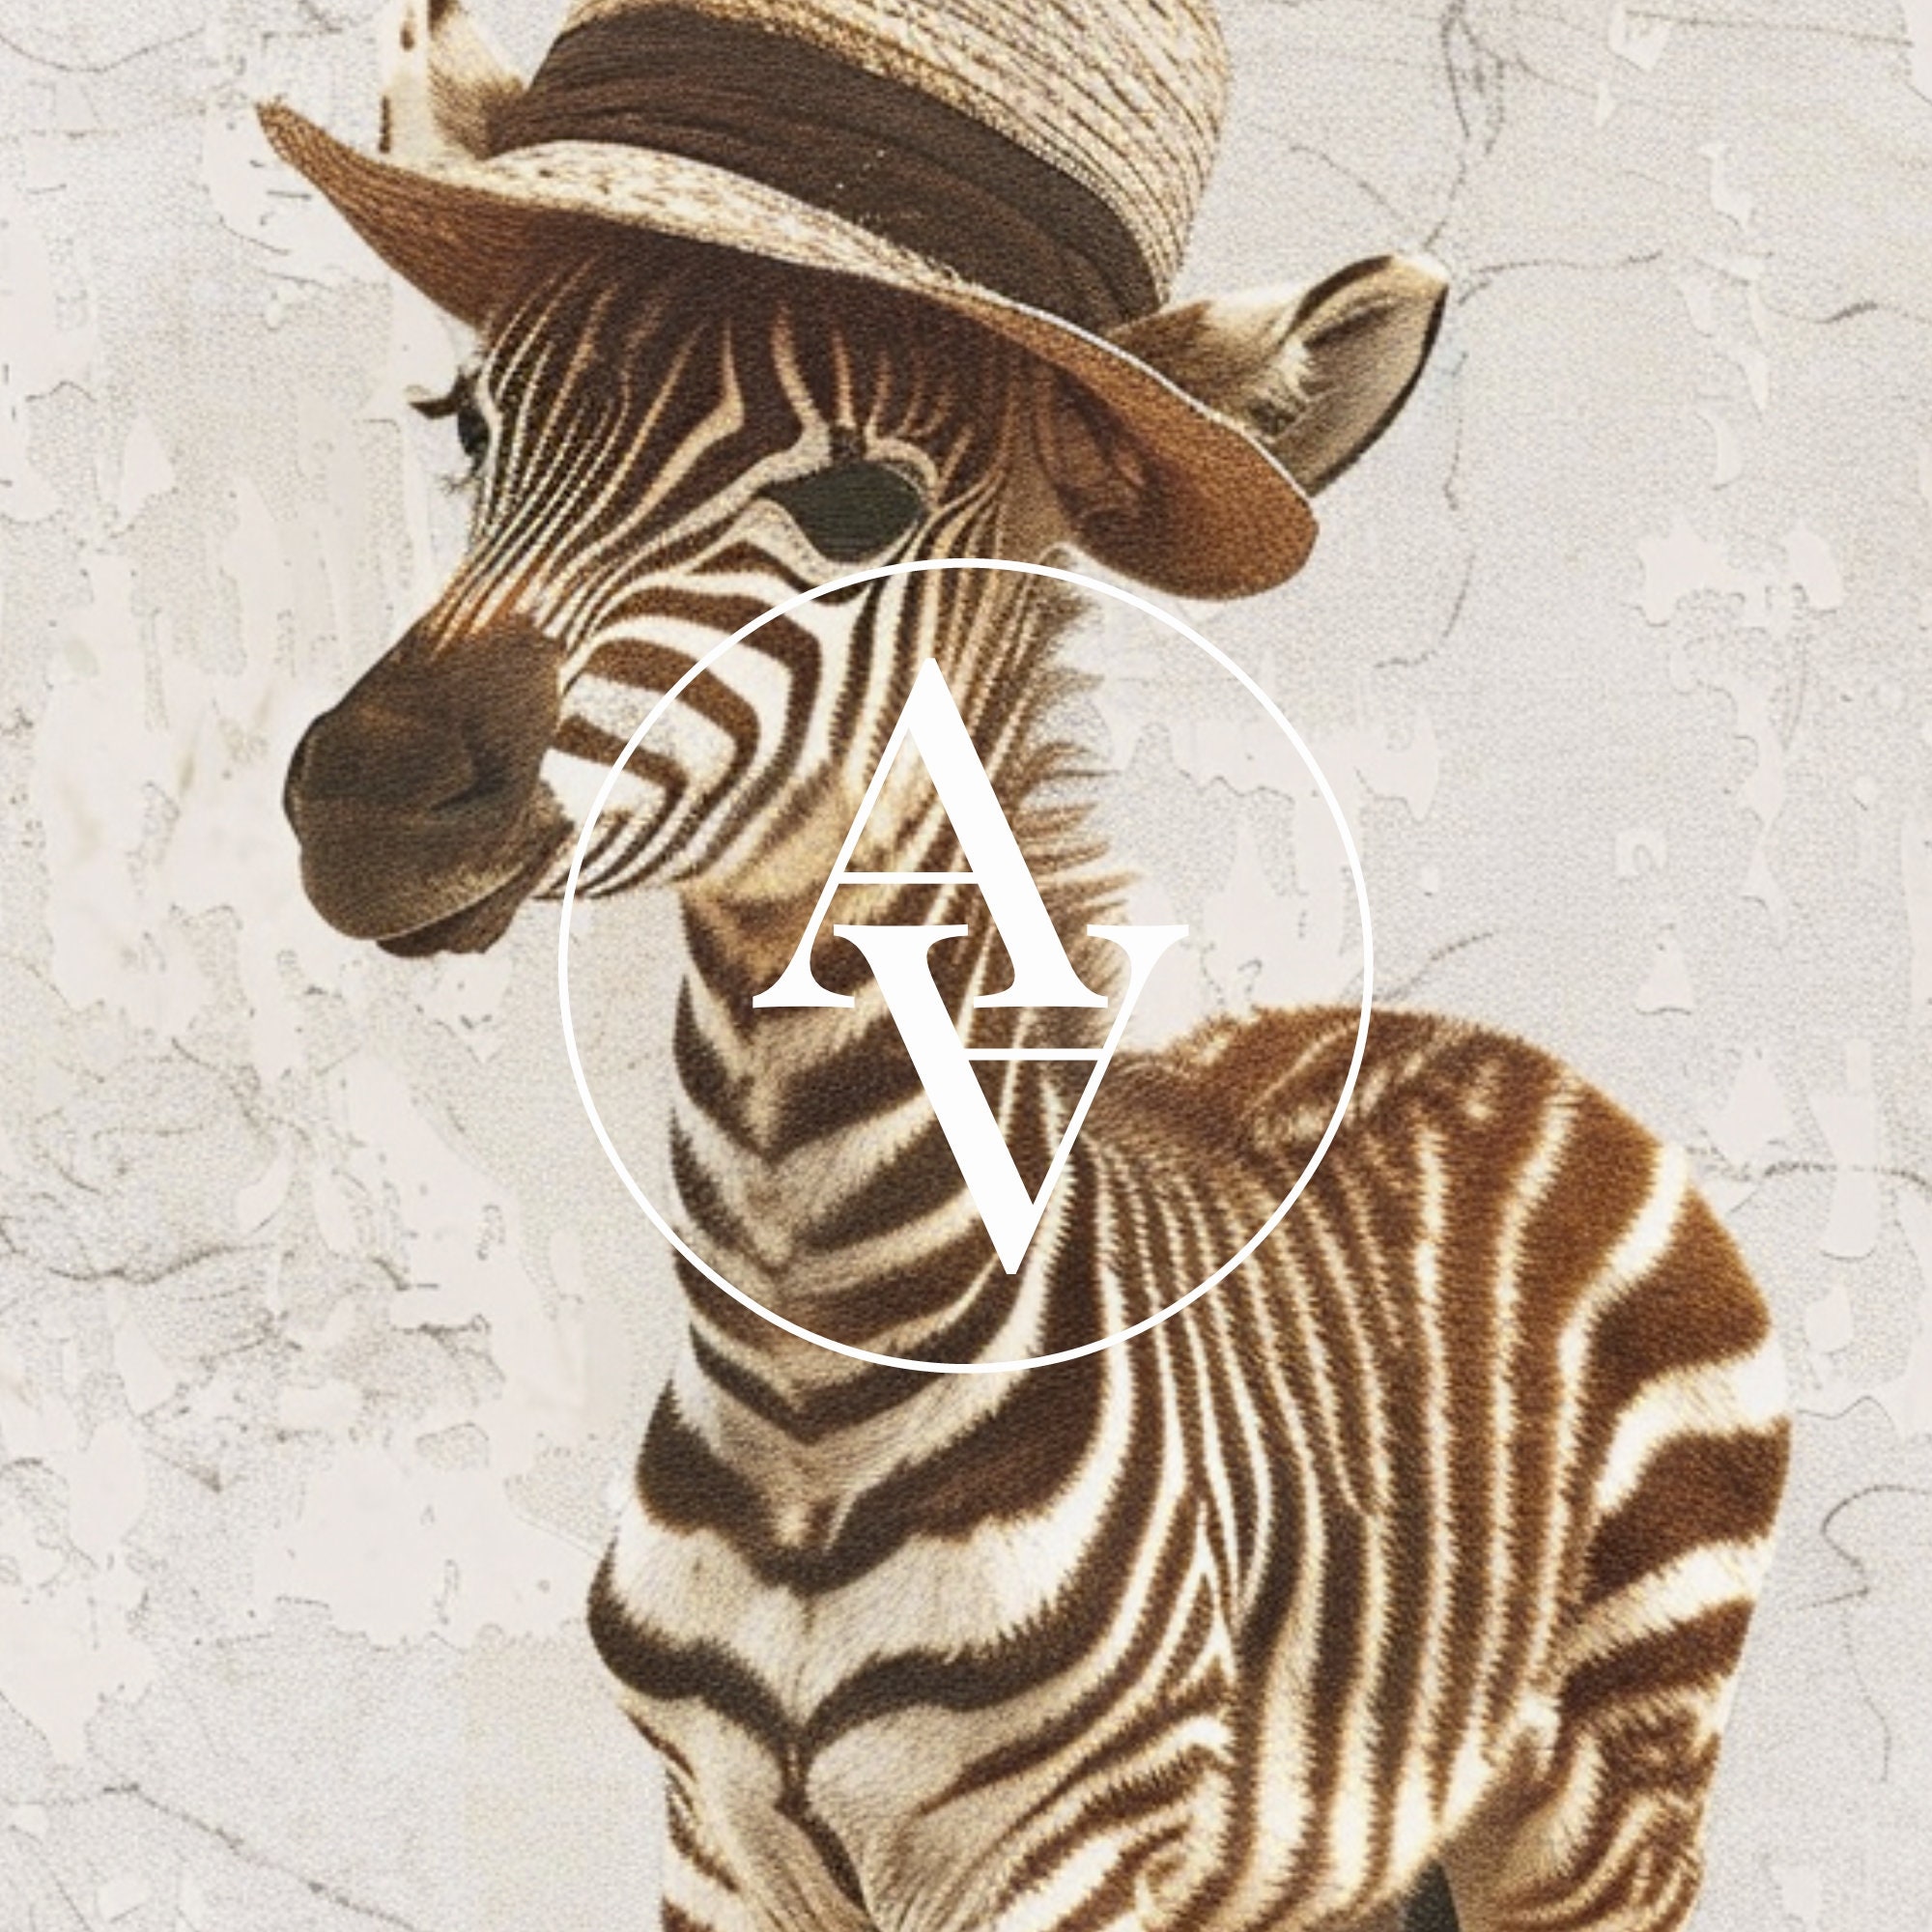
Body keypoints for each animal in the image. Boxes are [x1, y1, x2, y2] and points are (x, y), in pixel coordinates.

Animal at [277, 239, 1792, 1931]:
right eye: (472, 426)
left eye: (860, 508)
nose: (365, 796)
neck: (805, 1391)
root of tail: (1506, 1050)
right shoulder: (714, 1841)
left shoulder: (1067, 1852)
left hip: (1612, 1790)